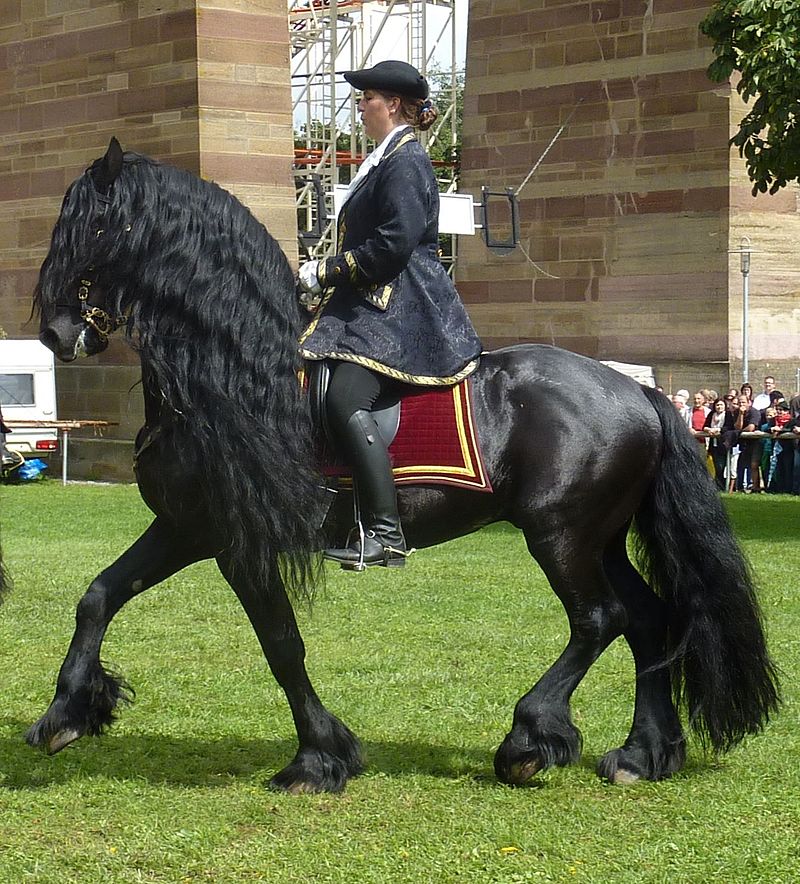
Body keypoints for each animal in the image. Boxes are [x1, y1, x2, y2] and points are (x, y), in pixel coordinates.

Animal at [29, 138, 779, 793]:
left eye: (97, 223)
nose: (57, 333)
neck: (233, 377)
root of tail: (639, 391)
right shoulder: (191, 526)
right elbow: (100, 594)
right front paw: (65, 713)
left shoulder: (242, 540)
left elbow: (281, 643)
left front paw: (318, 757)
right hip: (599, 536)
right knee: (649, 618)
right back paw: (643, 753)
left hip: (559, 534)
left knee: (600, 618)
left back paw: (530, 738)